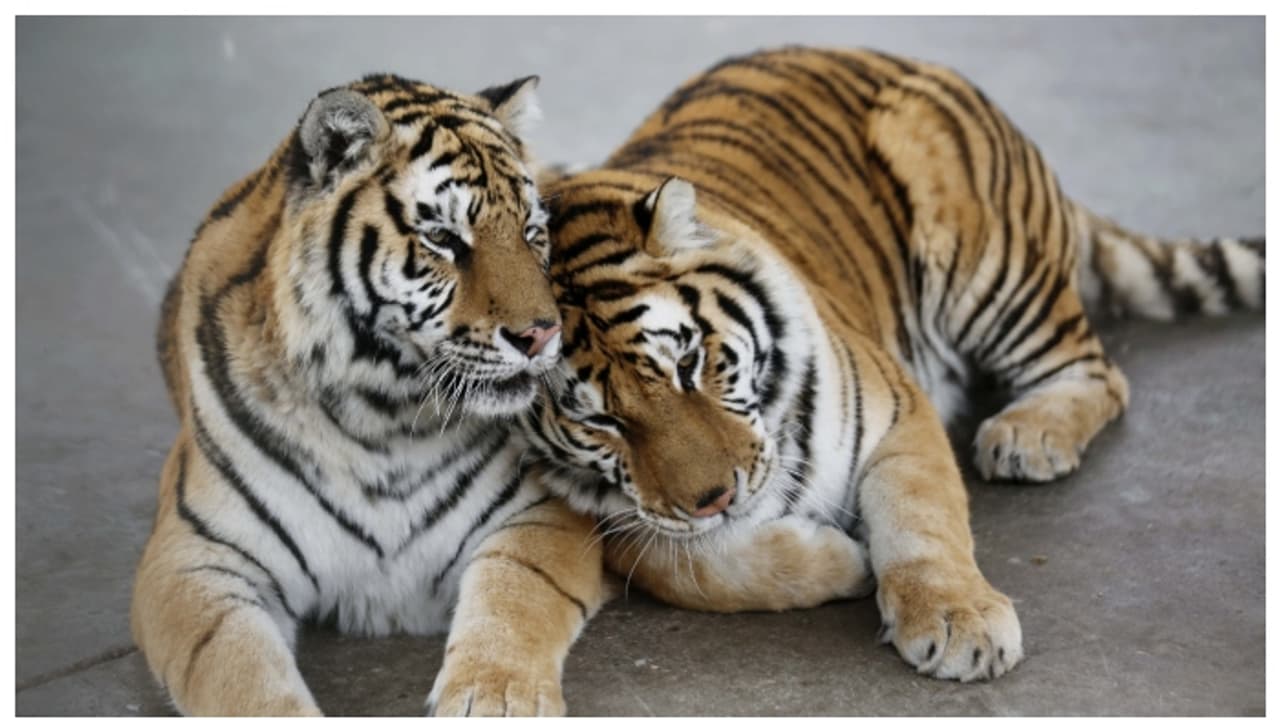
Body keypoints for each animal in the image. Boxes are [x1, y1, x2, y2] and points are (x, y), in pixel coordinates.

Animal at [517, 46, 1265, 683]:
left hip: (991, 270)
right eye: (603, 423)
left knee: (1099, 372)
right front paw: (842, 562)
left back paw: (1027, 435)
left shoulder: (897, 412)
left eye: (690, 363)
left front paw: (960, 625)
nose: (718, 498)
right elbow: (693, 568)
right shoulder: (610, 519)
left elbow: (922, 522)